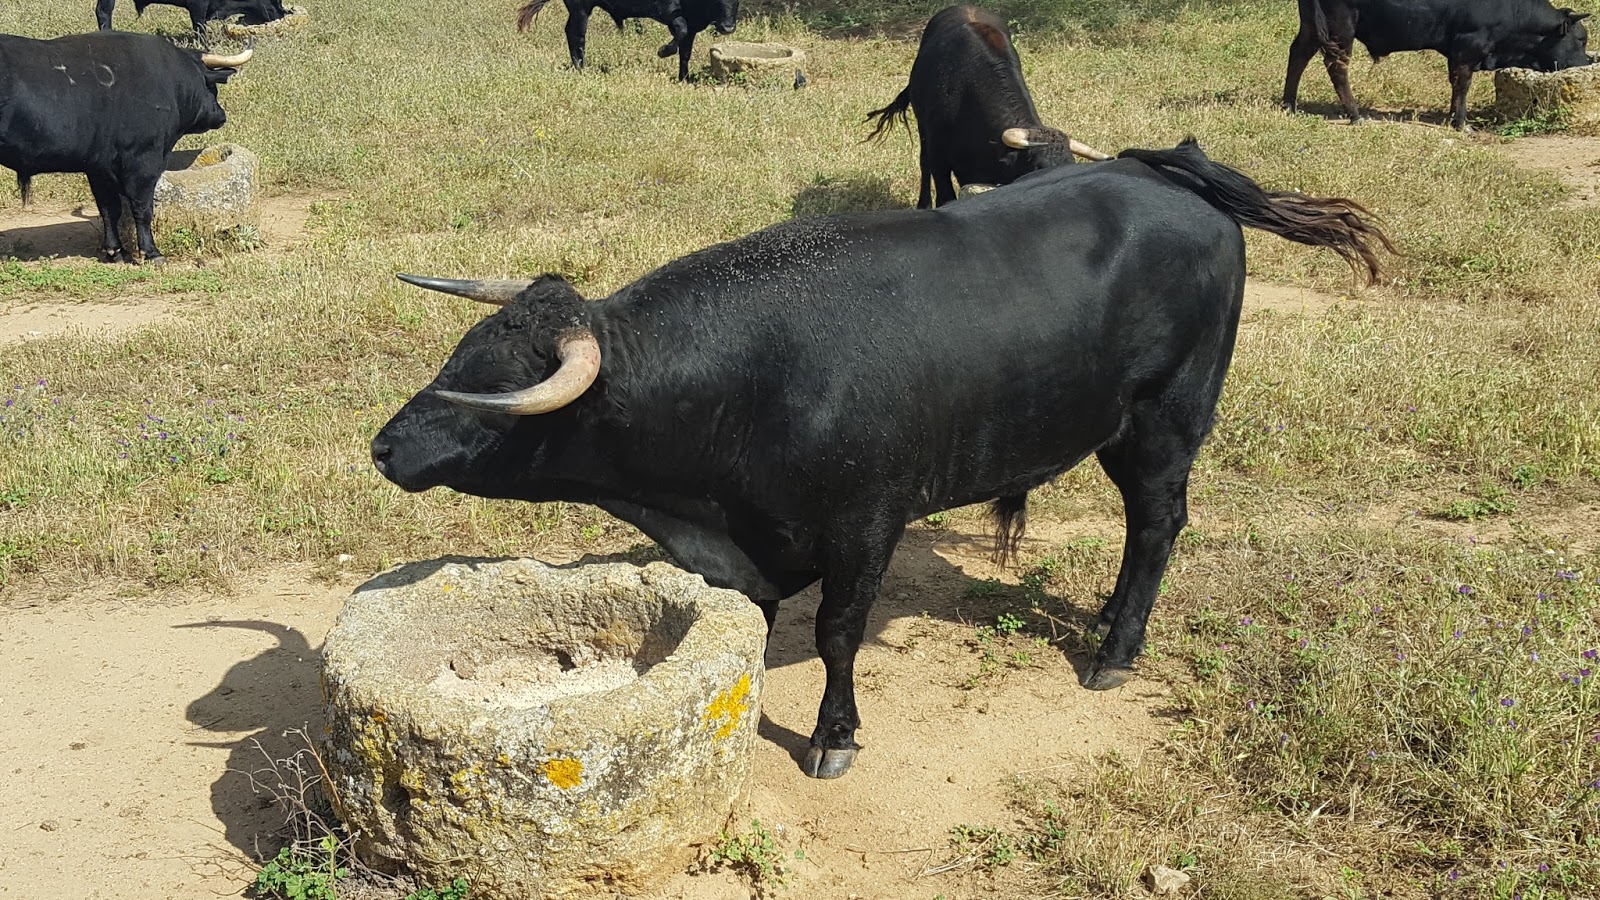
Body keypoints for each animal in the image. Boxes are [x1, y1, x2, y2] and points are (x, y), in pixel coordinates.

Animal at [0, 32, 252, 264]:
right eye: (211, 85)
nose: (221, 116)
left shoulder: (99, 169)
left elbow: (109, 209)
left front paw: (115, 251)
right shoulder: (142, 164)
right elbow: (142, 209)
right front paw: (151, 253)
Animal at [370, 139, 1394, 780]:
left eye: (493, 391)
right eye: (459, 353)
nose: (383, 445)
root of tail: (1164, 174)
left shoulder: (866, 524)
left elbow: (835, 635)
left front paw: (834, 736)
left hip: (1166, 423)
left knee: (1158, 523)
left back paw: (1116, 648)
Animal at [516, 0, 738, 82]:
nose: (728, 27)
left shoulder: (693, 25)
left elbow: (685, 52)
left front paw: (684, 78)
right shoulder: (669, 14)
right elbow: (680, 34)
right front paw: (663, 51)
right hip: (580, 9)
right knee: (576, 34)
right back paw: (580, 67)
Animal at [1283, 0, 1592, 130]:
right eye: (1581, 38)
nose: (1590, 60)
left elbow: (1455, 83)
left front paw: (1453, 116)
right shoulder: (1469, 44)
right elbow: (1463, 84)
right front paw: (1462, 123)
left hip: (1312, 27)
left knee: (1298, 54)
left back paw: (1289, 105)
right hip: (1340, 29)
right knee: (1337, 66)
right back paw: (1355, 114)